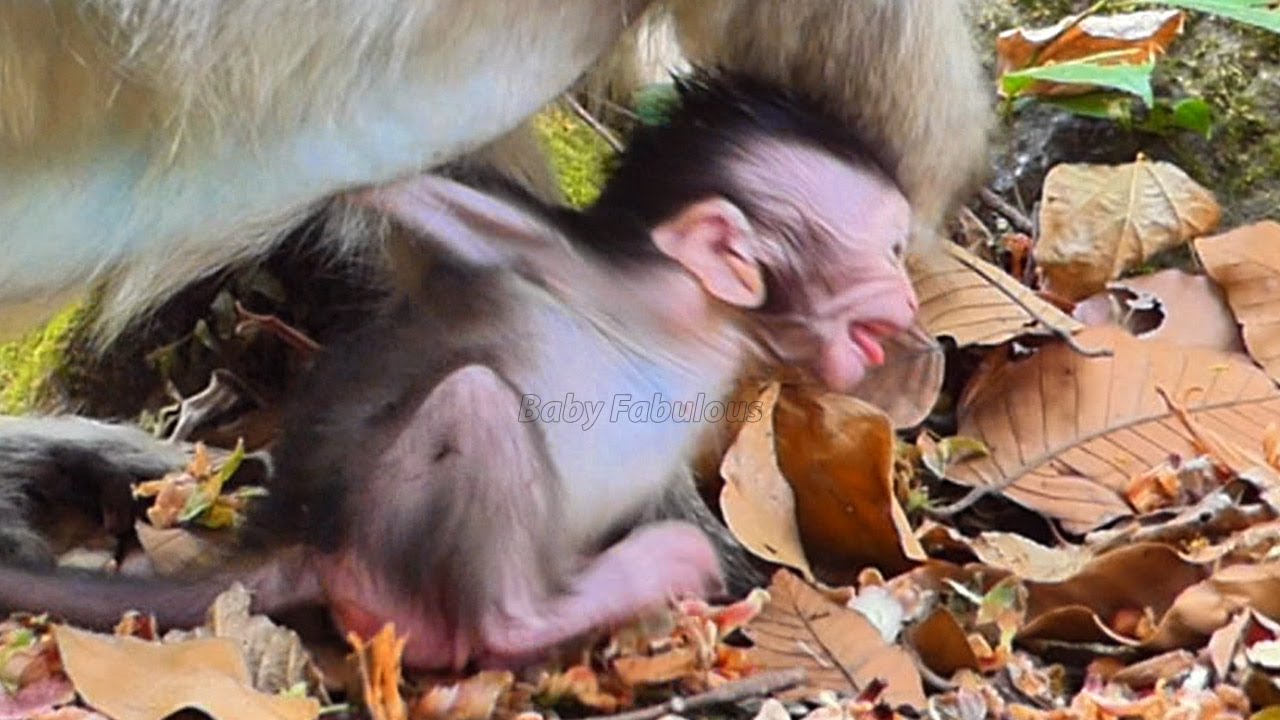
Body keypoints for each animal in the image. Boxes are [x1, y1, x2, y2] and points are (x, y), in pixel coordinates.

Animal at [0, 71, 920, 671]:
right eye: (890, 247)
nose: (912, 297)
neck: (696, 326)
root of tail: (308, 537)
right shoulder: (574, 265)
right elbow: (416, 201)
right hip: (390, 527)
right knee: (477, 404)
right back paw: (566, 605)